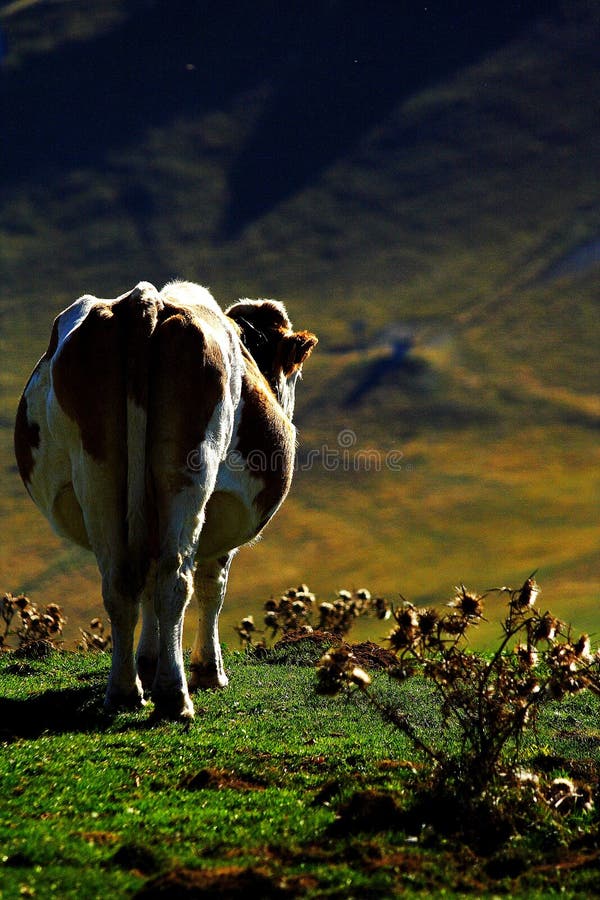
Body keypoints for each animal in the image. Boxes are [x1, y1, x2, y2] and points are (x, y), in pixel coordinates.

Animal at [14, 281, 317, 719]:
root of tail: (147, 302)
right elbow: (211, 587)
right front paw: (208, 671)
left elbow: (147, 584)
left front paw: (148, 661)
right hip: (191, 470)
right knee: (175, 580)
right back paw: (175, 696)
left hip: (97, 472)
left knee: (122, 581)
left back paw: (126, 690)